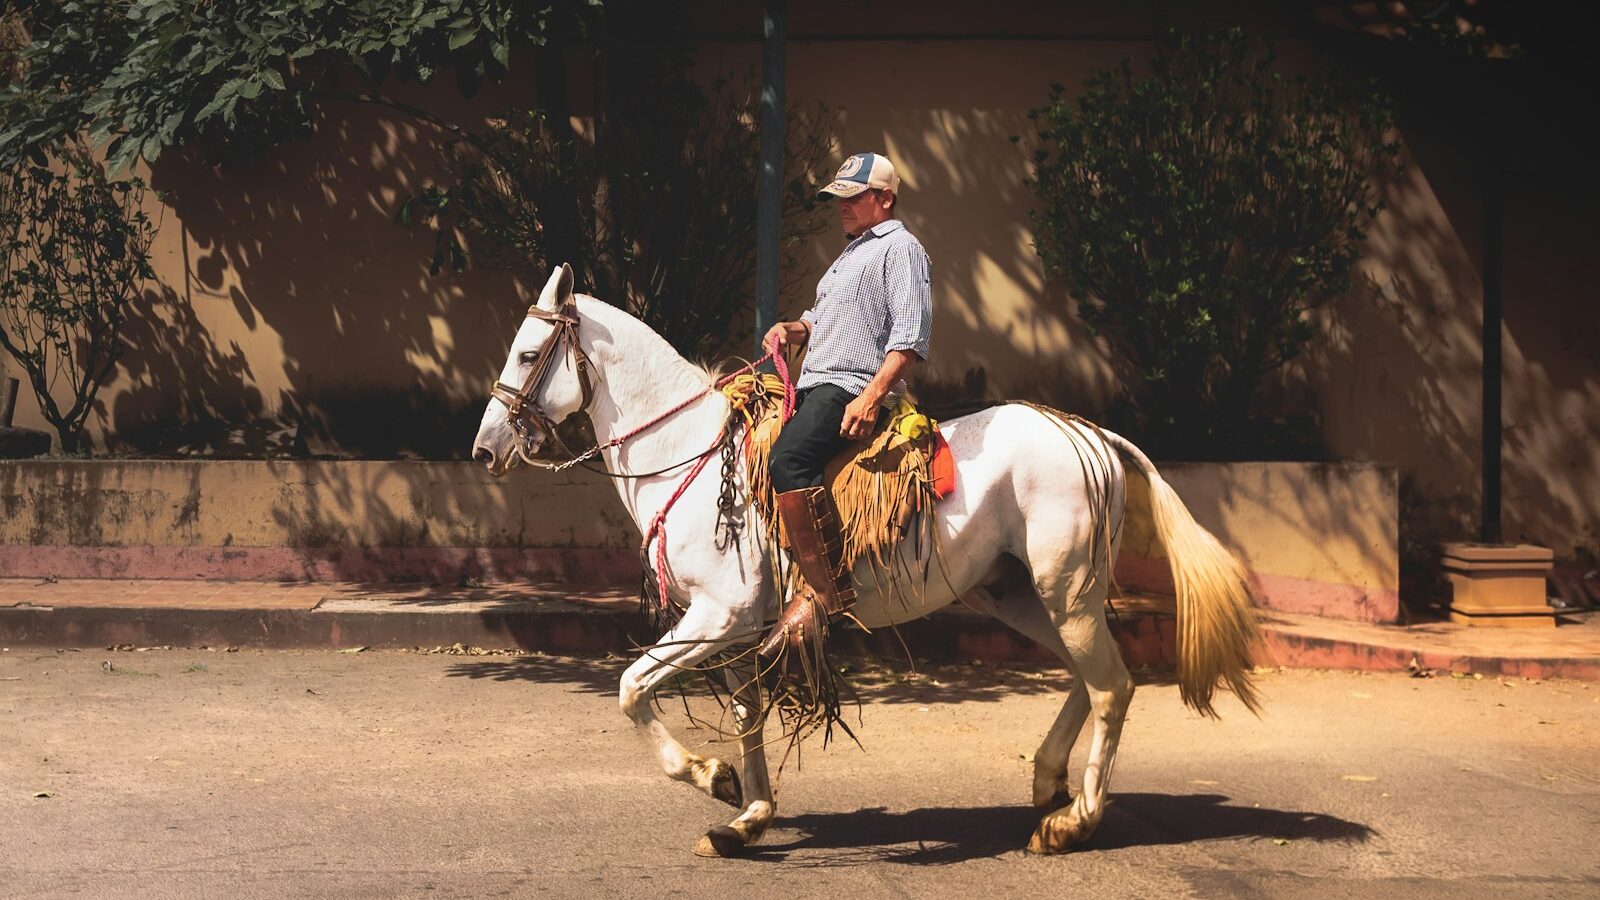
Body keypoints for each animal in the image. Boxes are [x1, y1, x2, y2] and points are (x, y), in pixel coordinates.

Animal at [471, 264, 1261, 857]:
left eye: (527, 354)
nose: (484, 449)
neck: (689, 449)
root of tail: (1090, 434)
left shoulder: (718, 613)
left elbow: (632, 687)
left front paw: (708, 774)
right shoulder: (734, 628)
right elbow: (747, 712)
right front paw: (746, 816)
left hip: (1065, 590)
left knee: (1112, 687)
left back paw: (1074, 822)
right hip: (1018, 594)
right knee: (1087, 676)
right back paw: (1047, 784)